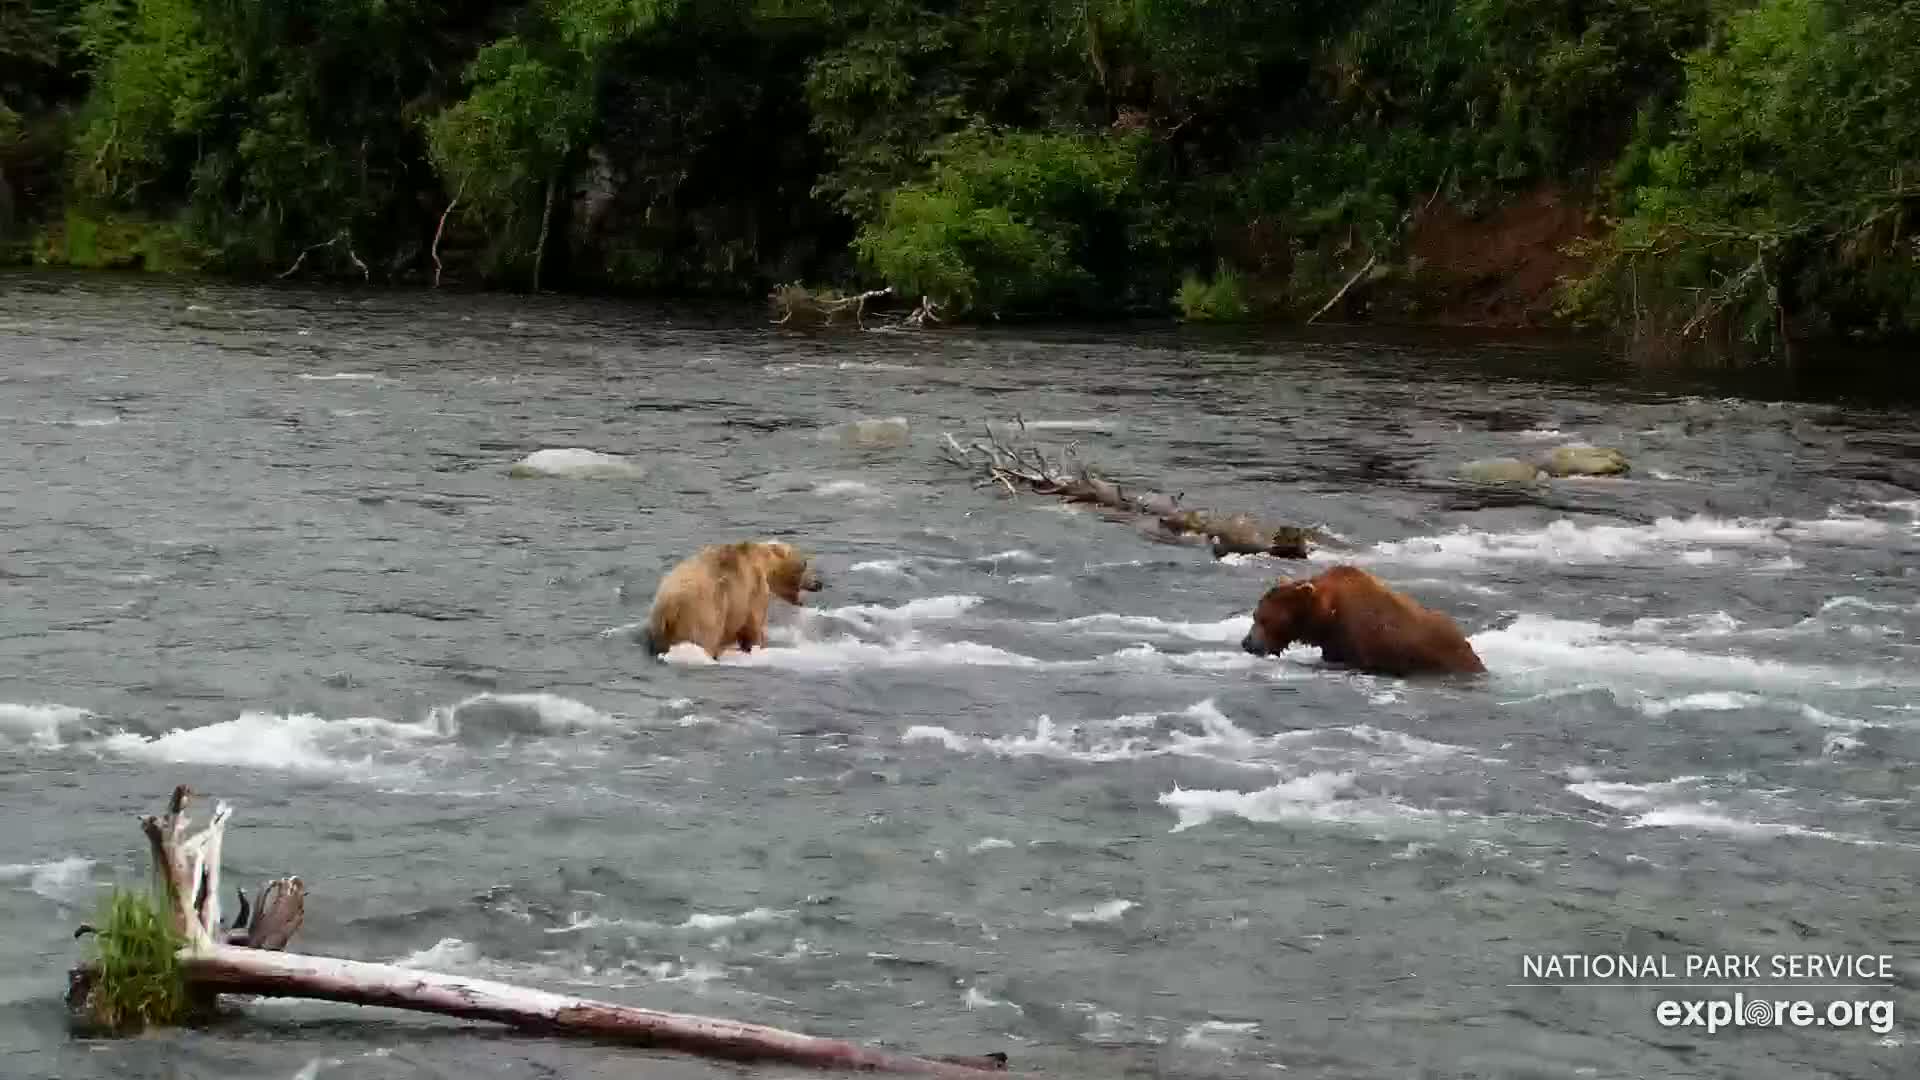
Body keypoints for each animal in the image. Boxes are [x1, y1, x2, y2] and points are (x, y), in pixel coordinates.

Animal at [643, 540, 824, 660]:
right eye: (805, 563)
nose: (818, 583)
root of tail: (669, 608)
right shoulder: (751, 591)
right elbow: (753, 625)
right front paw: (758, 646)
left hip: (659, 625)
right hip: (703, 616)